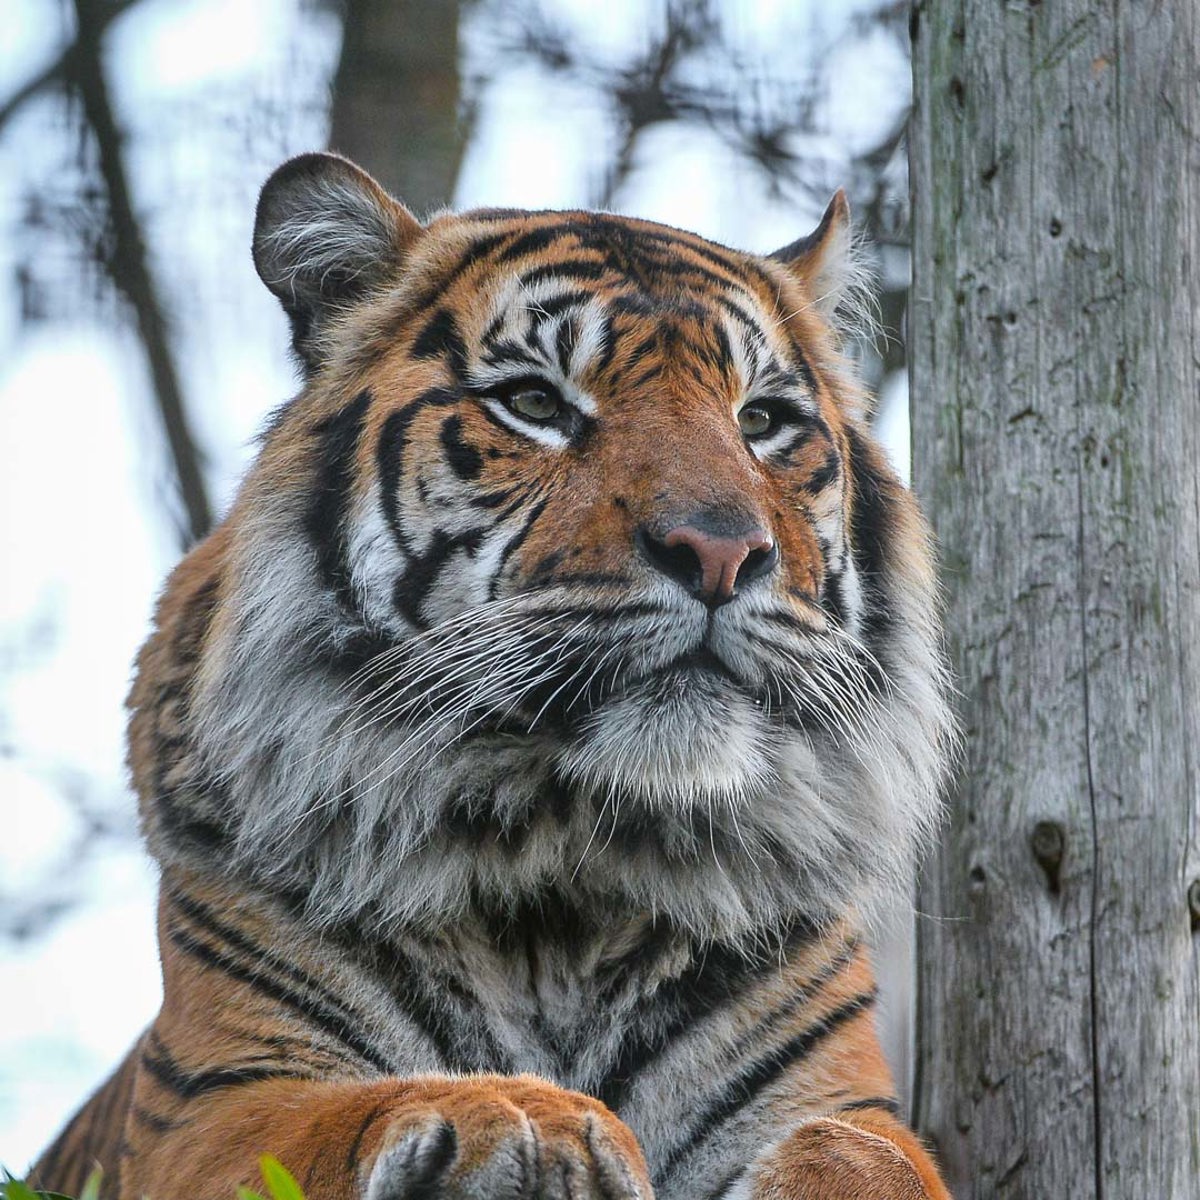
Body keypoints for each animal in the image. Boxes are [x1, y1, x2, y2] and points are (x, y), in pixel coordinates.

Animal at [31, 151, 955, 1200]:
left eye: (762, 420)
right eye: (536, 404)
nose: (721, 552)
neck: (570, 879)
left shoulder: (840, 1095)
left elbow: (866, 1154)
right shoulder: (207, 1107)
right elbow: (333, 1111)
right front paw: (519, 1114)